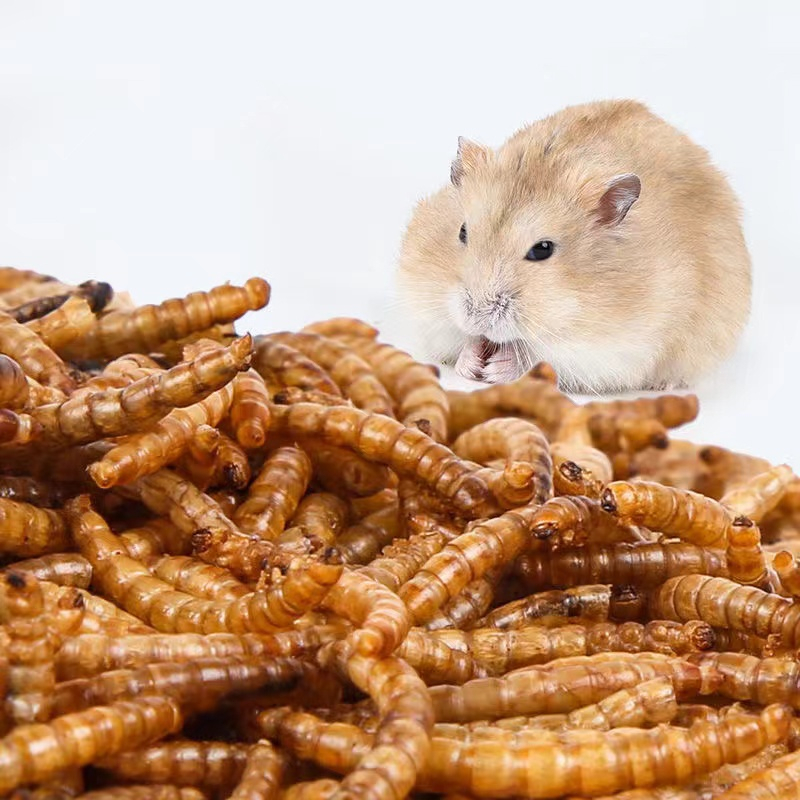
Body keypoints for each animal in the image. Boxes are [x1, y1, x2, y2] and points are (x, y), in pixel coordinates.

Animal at [396, 100, 751, 392]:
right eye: (462, 232)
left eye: (543, 249)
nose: (476, 317)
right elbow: (457, 340)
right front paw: (472, 362)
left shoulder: (608, 350)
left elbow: (540, 357)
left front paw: (497, 367)